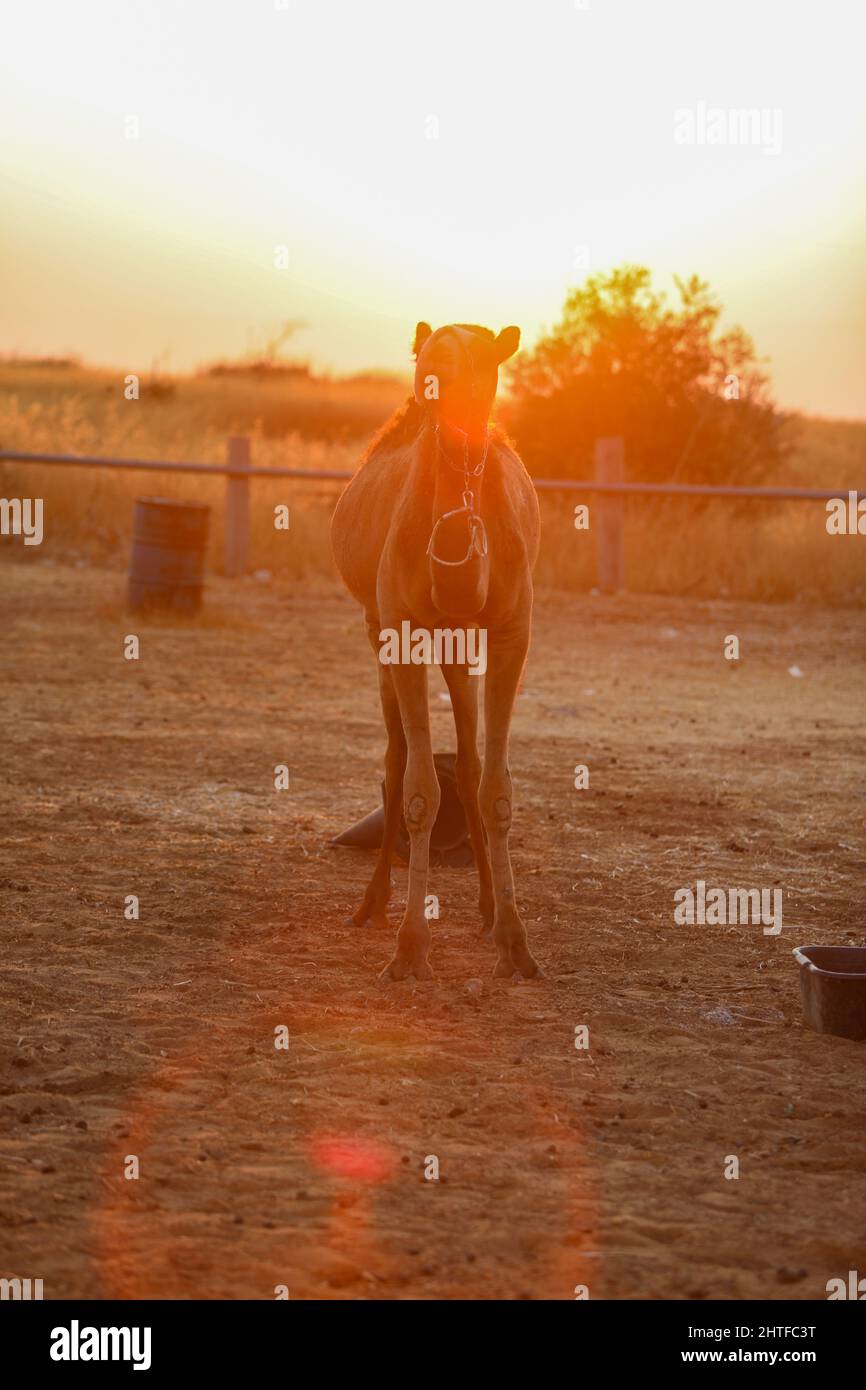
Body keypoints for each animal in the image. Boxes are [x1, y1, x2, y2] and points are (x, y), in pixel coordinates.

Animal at [330, 321, 540, 982]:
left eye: (484, 363)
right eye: (427, 360)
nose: (430, 388)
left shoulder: (510, 630)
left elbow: (495, 786)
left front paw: (514, 942)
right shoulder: (400, 625)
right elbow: (422, 786)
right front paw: (410, 948)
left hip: (456, 640)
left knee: (468, 759)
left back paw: (486, 905)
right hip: (379, 630)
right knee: (396, 757)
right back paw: (372, 904)